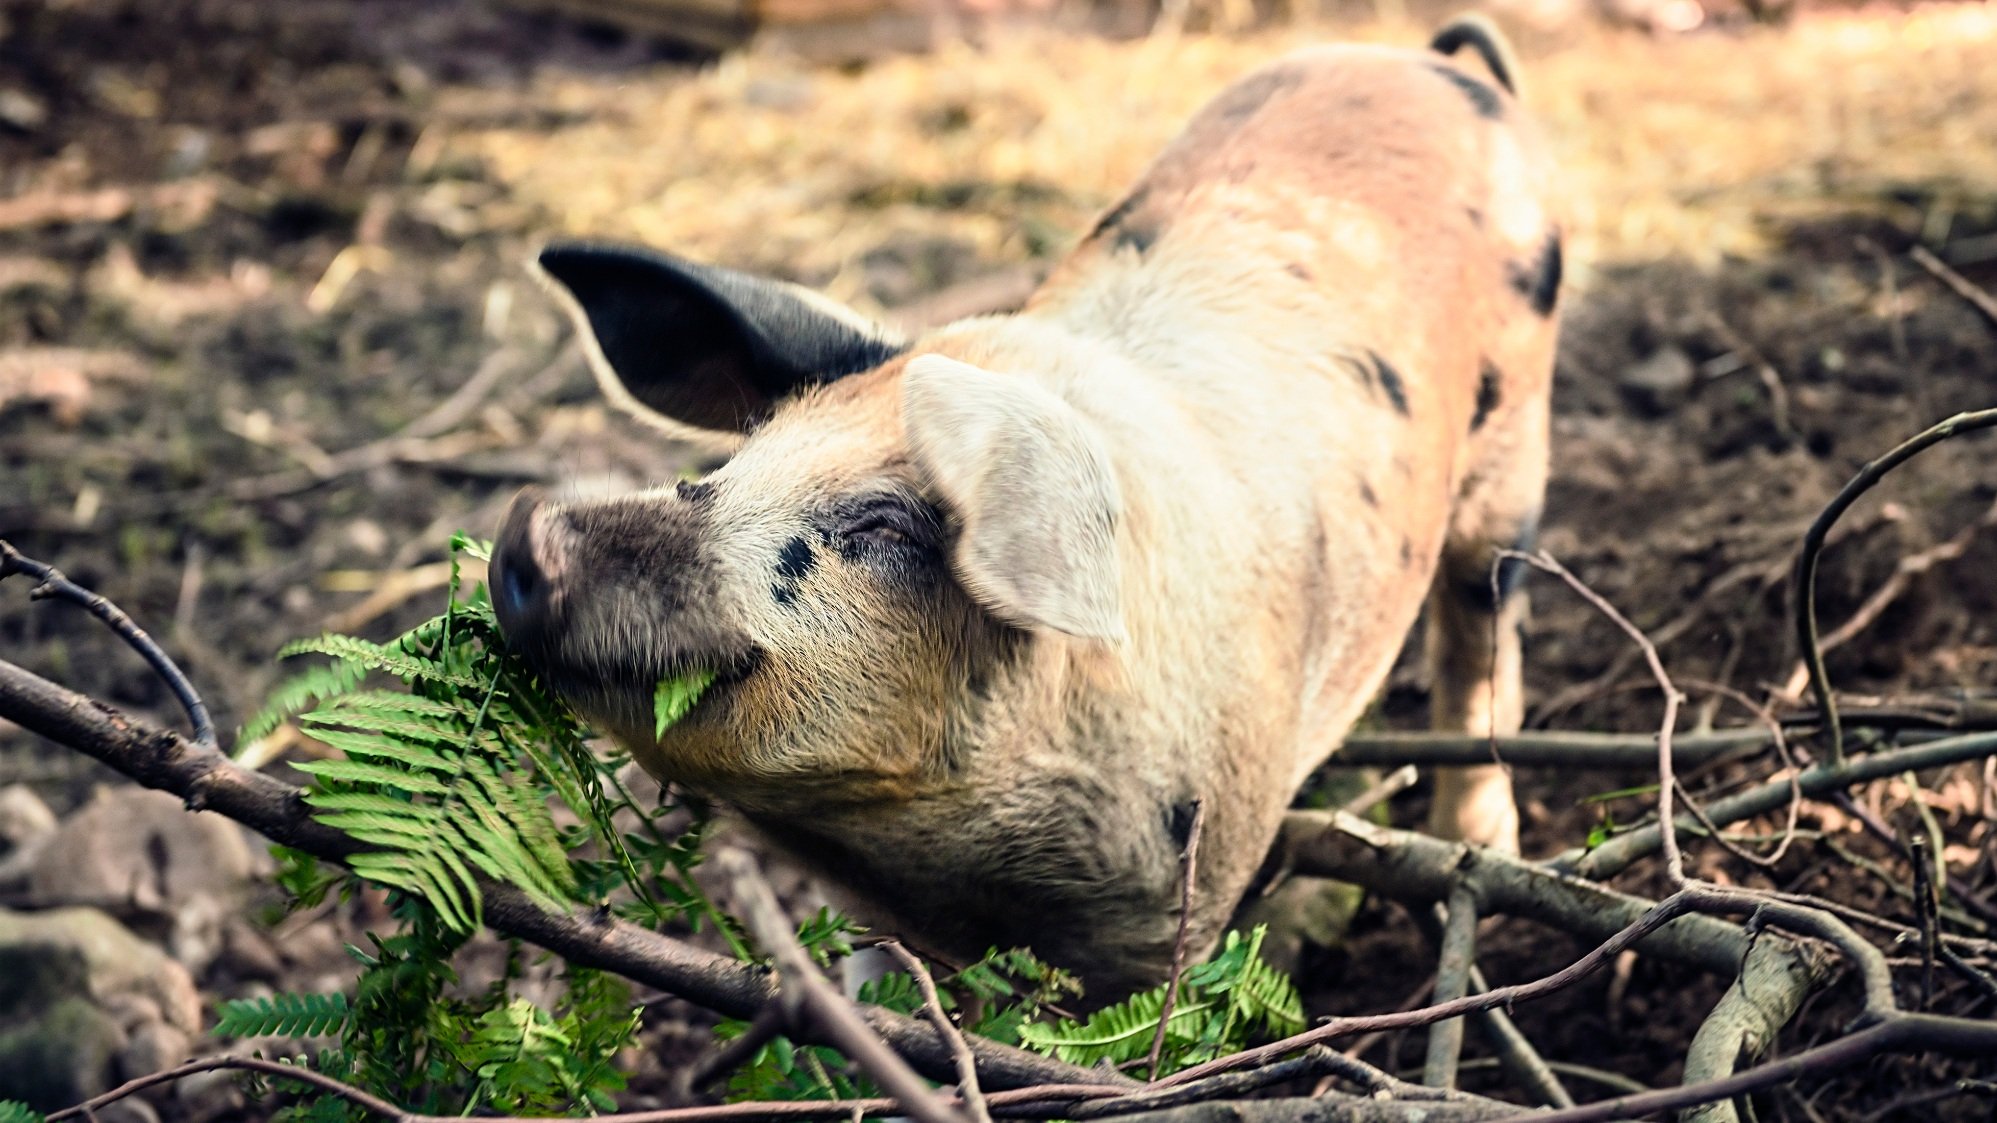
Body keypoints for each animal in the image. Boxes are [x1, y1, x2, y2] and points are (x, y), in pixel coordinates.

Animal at [489, 16, 1560, 1003]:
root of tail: (1428, 61)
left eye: (882, 522)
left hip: (1515, 445)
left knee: (1481, 632)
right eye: (723, 468)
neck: (953, 873)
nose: (532, 533)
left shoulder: (1181, 895)